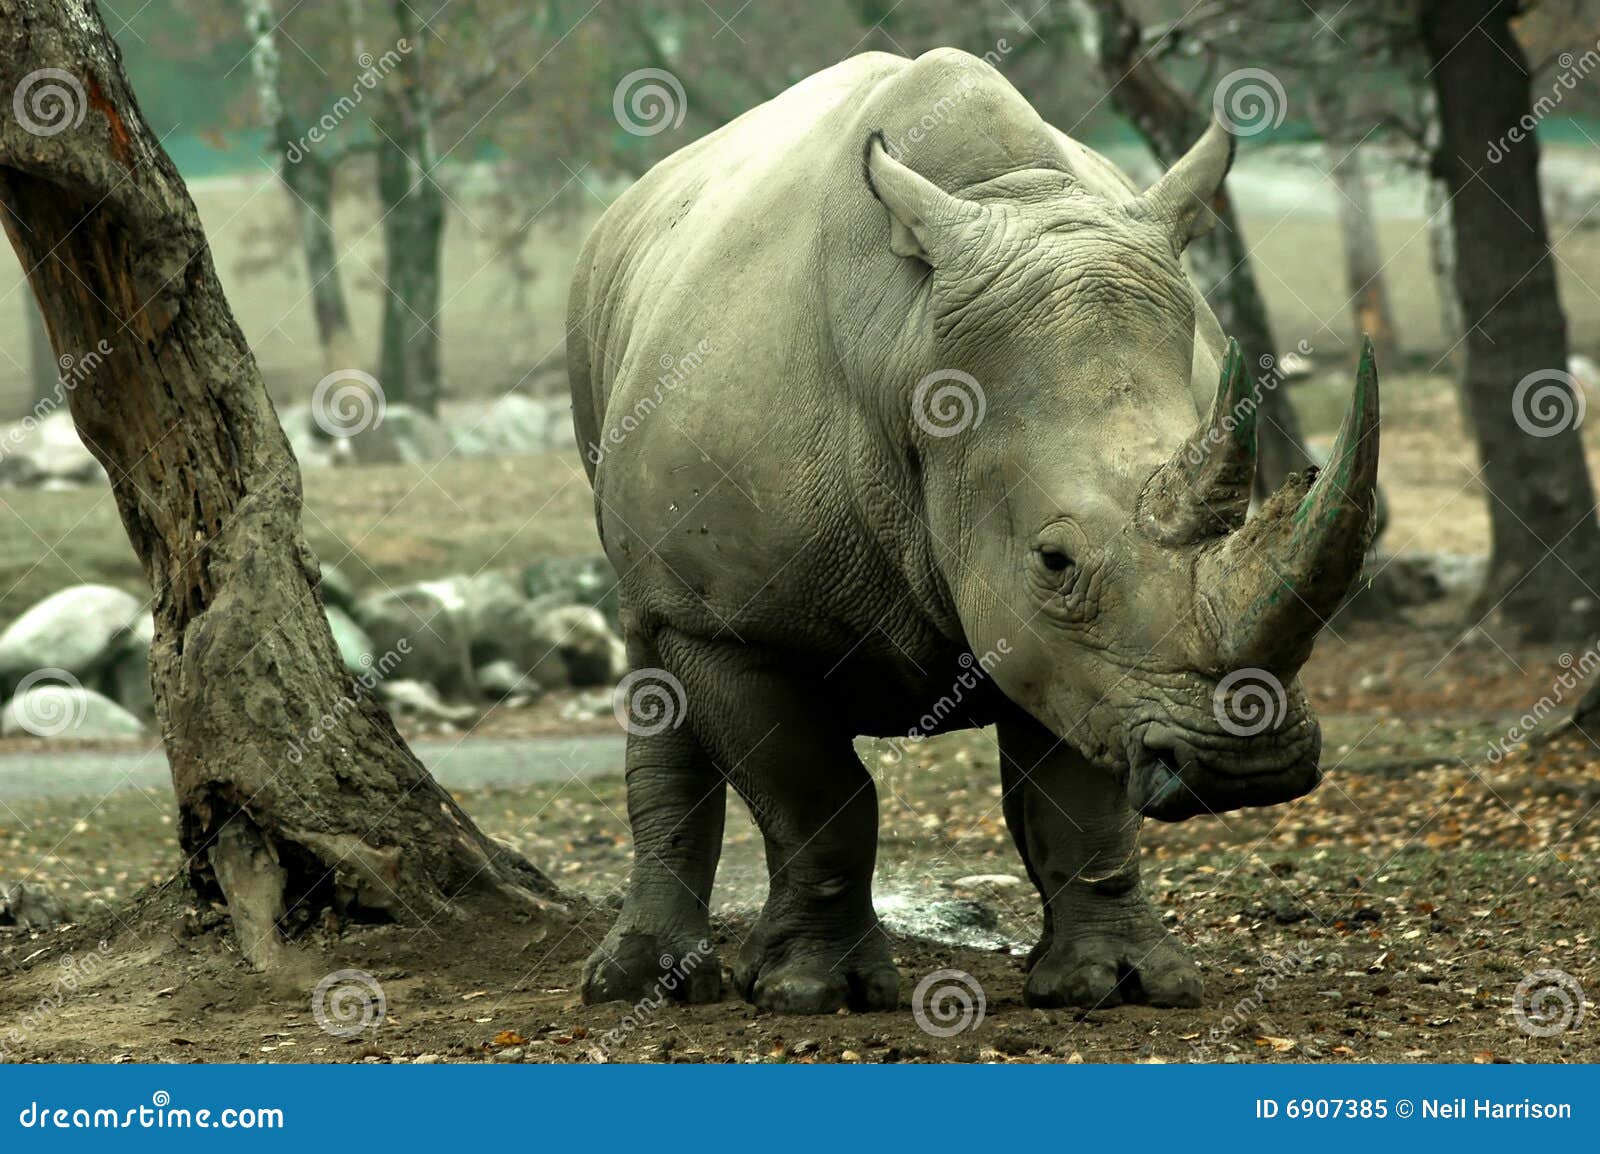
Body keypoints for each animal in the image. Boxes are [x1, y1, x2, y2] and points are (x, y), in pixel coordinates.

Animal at [567, 49, 1378, 1014]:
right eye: (1054, 560)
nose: (1248, 768)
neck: (908, 357)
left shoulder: (1087, 658)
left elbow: (1078, 796)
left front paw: (1115, 981)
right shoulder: (725, 617)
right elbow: (817, 797)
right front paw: (813, 990)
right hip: (599, 366)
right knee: (649, 647)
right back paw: (636, 983)